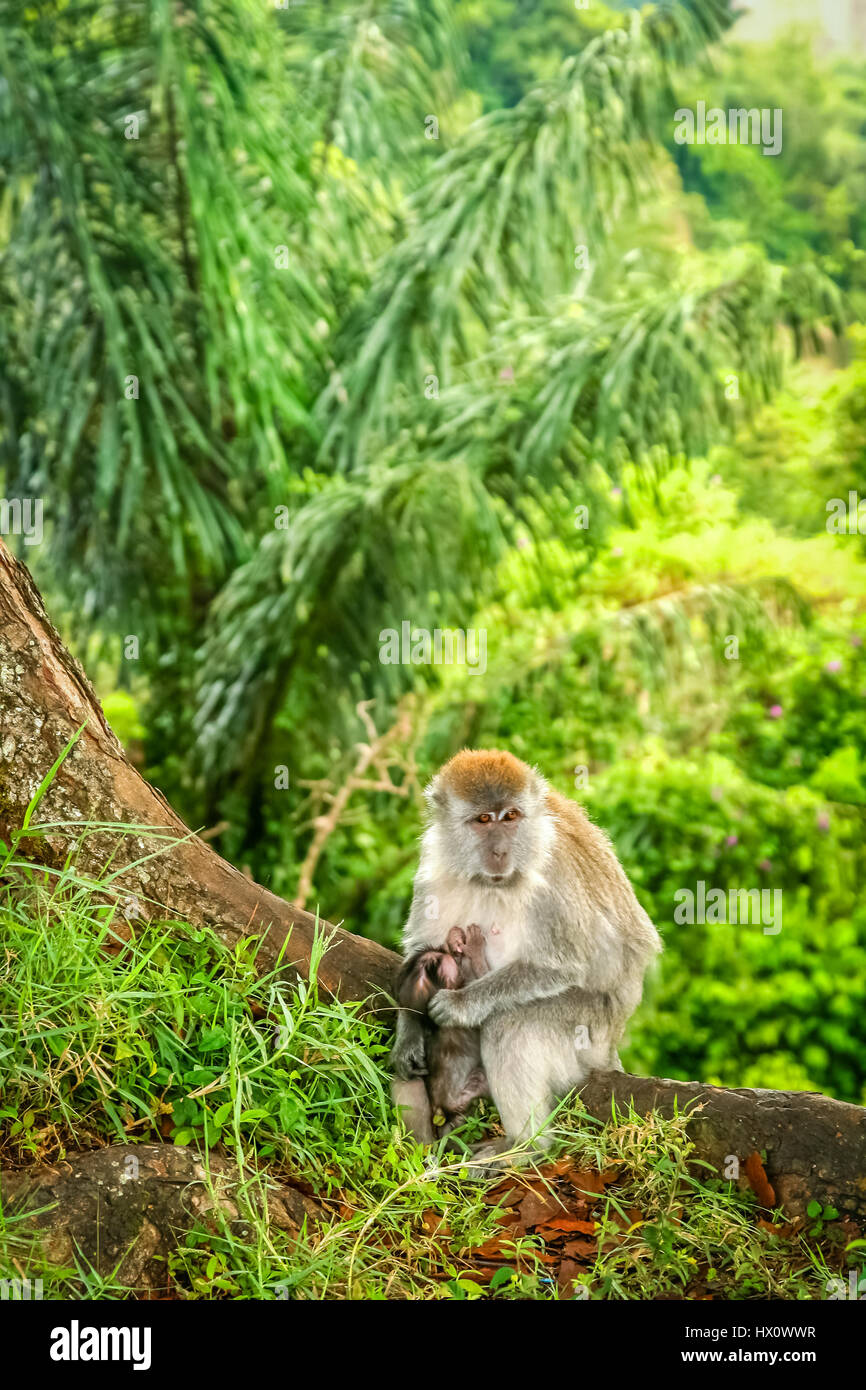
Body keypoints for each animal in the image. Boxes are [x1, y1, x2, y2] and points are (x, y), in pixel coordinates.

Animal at [393, 924, 490, 1139]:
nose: (450, 950)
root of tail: (440, 1108)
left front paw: (455, 939)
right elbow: (481, 976)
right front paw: (474, 945)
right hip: (465, 1095)